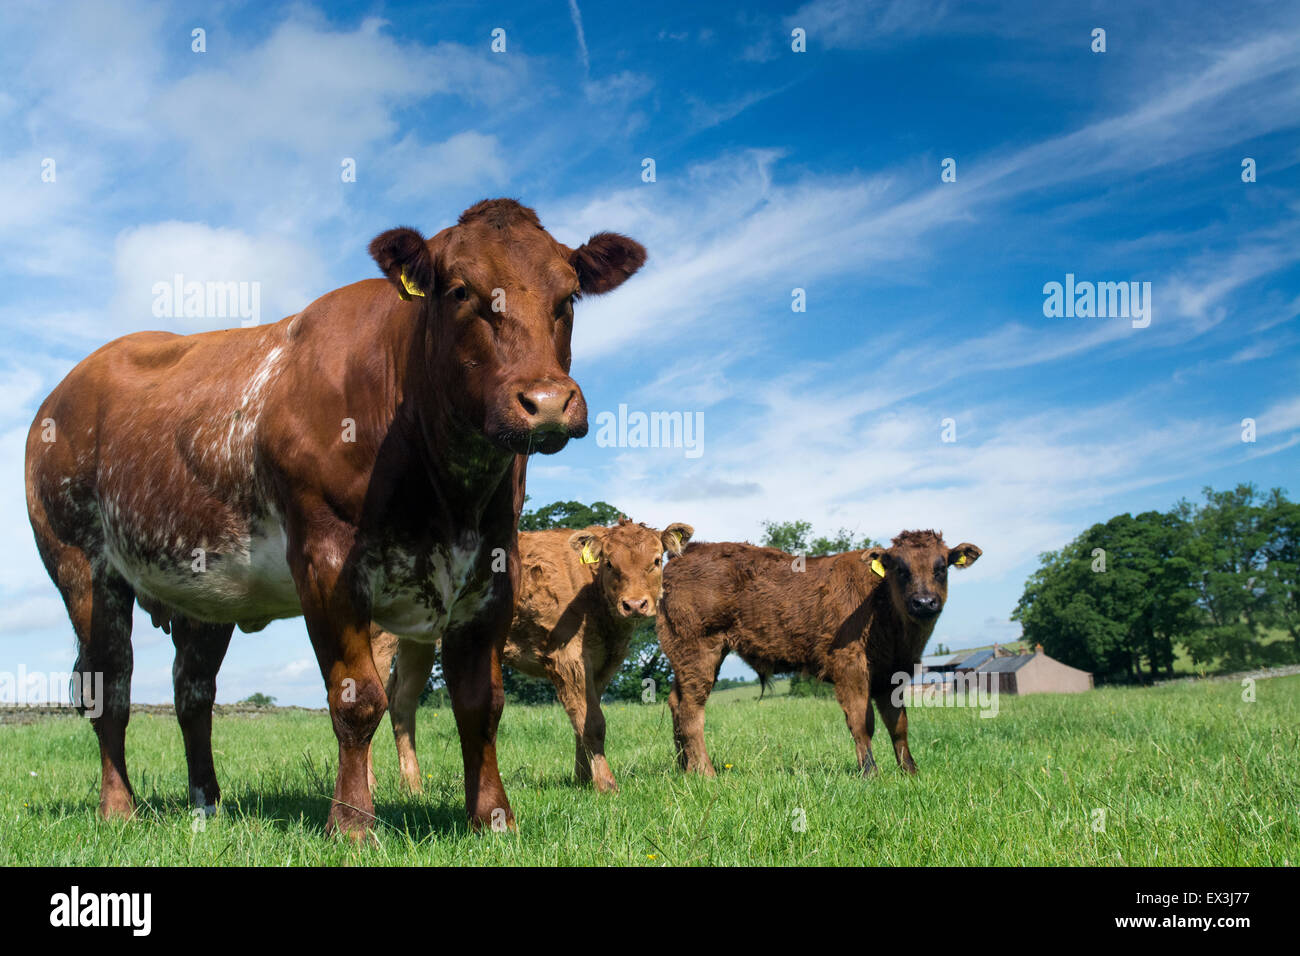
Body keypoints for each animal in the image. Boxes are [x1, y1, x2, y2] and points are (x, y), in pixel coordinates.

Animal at [24, 198, 646, 839]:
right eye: (458, 290)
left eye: (568, 296)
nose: (546, 403)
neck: (449, 491)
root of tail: (65, 387)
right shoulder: (327, 561)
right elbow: (357, 698)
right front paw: (351, 823)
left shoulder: (496, 568)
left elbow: (481, 703)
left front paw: (493, 817)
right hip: (81, 567)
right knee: (110, 688)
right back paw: (117, 807)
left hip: (204, 587)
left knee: (192, 692)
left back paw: (206, 804)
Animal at [370, 518, 694, 794]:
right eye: (610, 563)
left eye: (656, 561)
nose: (634, 604)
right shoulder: (566, 657)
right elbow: (592, 723)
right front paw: (606, 785)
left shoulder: (601, 664)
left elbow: (584, 718)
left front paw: (582, 779)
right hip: (378, 637)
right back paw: (370, 786)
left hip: (416, 642)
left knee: (402, 701)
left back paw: (413, 787)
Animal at [657, 530, 981, 776]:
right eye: (900, 569)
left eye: (941, 568)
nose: (924, 602)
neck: (880, 602)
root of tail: (685, 553)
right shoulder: (850, 668)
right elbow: (862, 722)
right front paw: (870, 773)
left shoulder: (892, 674)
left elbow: (898, 724)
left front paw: (910, 771)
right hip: (699, 652)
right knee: (691, 712)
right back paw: (706, 773)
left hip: (685, 661)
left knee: (676, 704)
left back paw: (685, 769)